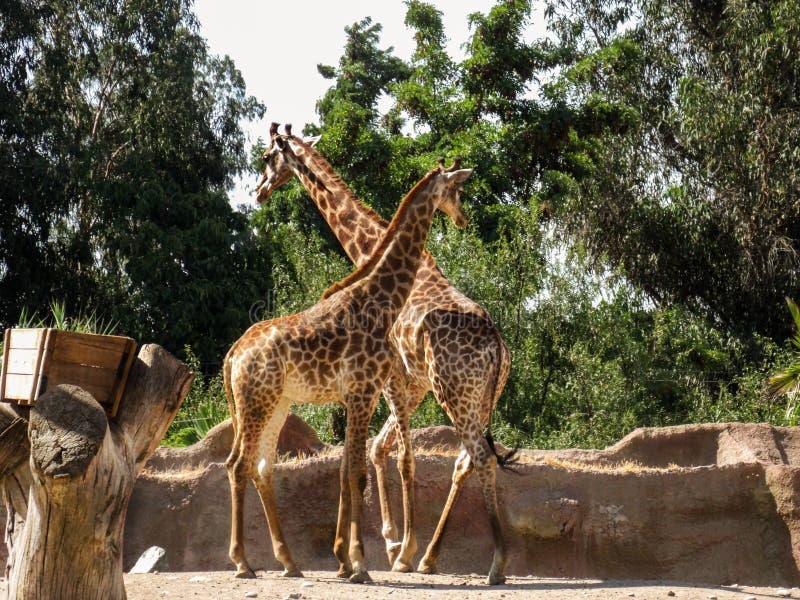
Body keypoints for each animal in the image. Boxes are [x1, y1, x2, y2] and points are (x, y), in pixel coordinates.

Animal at [256, 123, 514, 585]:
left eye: (268, 157)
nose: (259, 192)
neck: (370, 251)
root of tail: (497, 346)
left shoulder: (394, 378)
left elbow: (401, 459)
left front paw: (392, 550)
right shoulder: (410, 387)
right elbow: (378, 451)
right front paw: (393, 545)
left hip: (455, 394)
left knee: (478, 458)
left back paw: (488, 564)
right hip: (482, 398)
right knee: (465, 461)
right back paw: (432, 556)